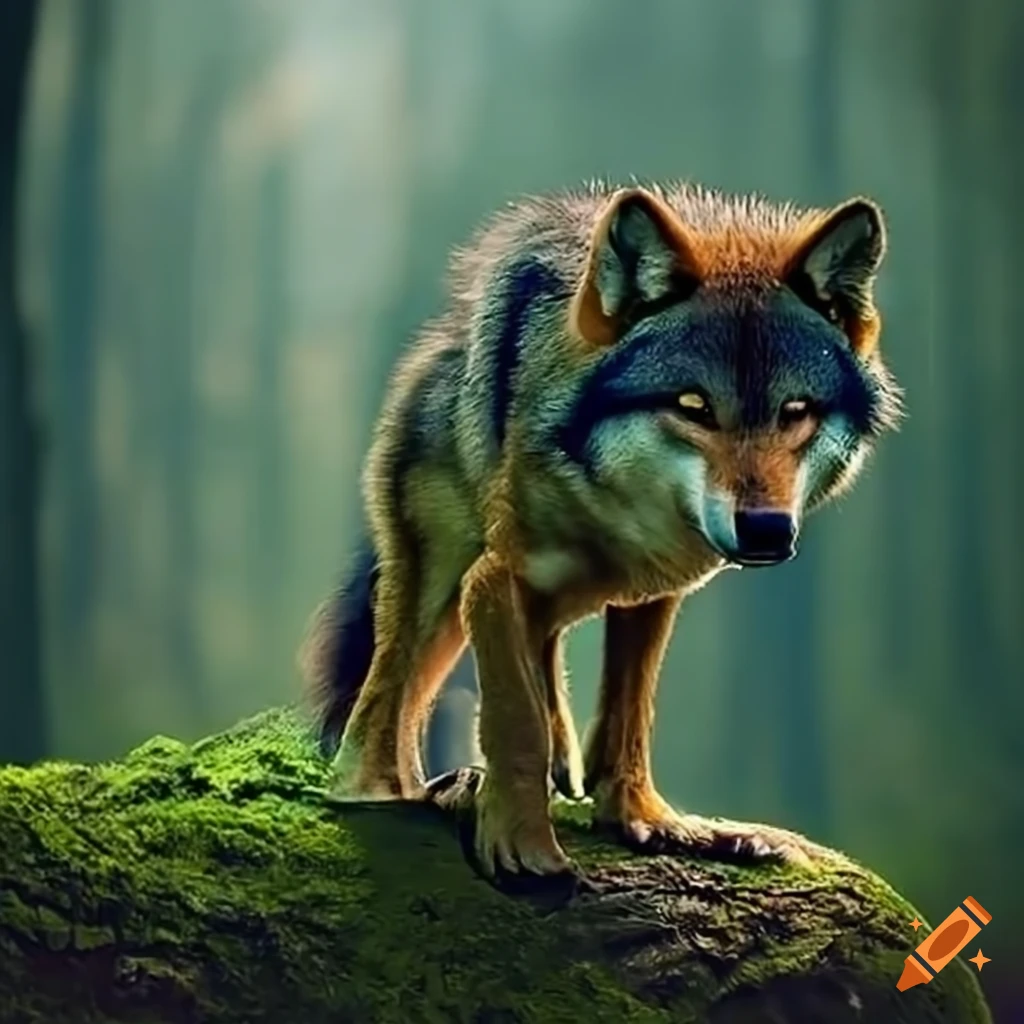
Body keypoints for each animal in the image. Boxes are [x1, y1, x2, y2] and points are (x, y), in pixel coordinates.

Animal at [300, 182, 902, 879]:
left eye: (796, 410)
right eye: (692, 405)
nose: (765, 530)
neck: (619, 515)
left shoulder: (654, 596)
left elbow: (627, 716)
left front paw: (652, 821)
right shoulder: (493, 579)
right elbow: (517, 721)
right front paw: (523, 845)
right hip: (436, 590)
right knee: (375, 733)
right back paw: (427, 792)